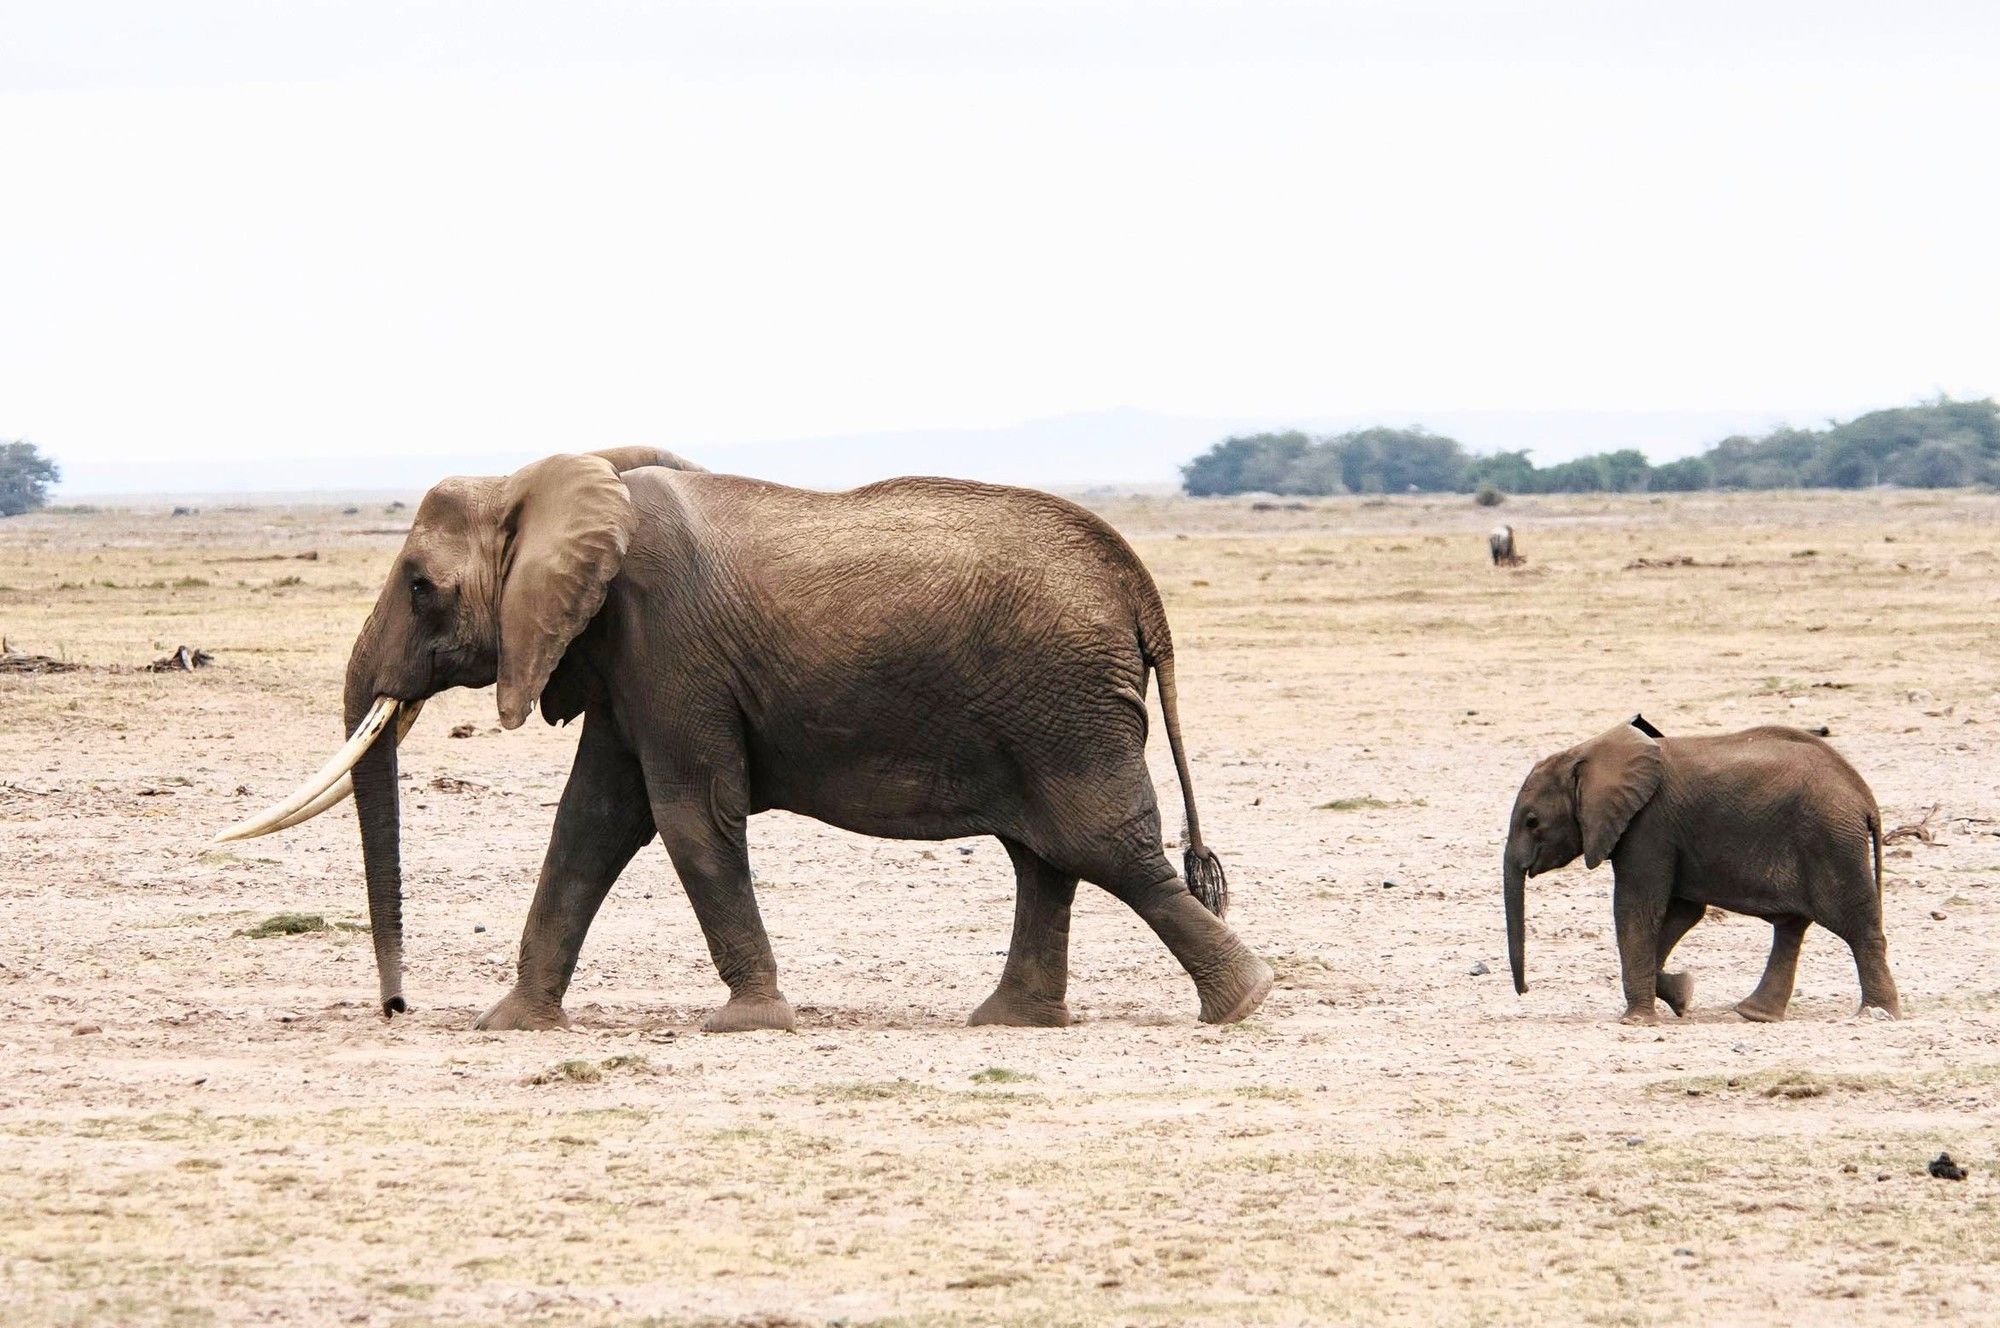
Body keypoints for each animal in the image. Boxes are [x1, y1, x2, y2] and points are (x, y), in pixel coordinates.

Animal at [217, 448, 1274, 1034]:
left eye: (421, 587)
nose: (397, 1009)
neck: (545, 484)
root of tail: (1139, 589)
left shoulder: (666, 644)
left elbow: (688, 818)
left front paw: (747, 1025)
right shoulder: (623, 660)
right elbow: (591, 823)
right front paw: (508, 1026)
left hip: (1062, 705)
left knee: (1097, 845)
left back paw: (1244, 1002)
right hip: (1046, 706)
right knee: (1045, 856)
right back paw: (1012, 1023)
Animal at [1503, 715, 1901, 1024]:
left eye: (1532, 822)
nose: (1525, 990)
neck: (1587, 752)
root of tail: (1865, 798)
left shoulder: (1649, 827)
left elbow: (1636, 909)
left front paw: (1637, 1021)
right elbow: (1682, 912)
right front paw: (1682, 995)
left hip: (1831, 841)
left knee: (1856, 927)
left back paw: (1876, 1014)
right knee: (1791, 927)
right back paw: (1754, 1014)